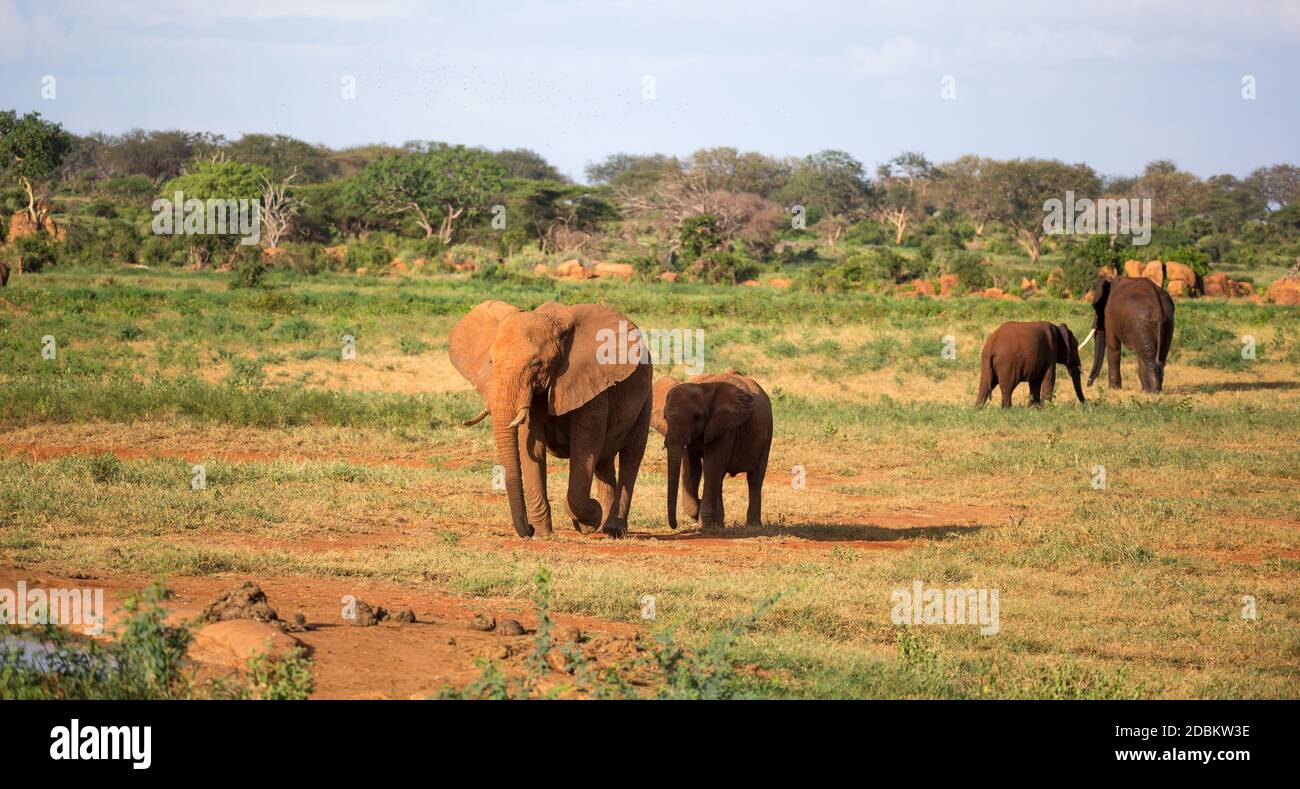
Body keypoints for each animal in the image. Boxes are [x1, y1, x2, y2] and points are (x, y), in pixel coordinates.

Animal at [449, 300, 653, 539]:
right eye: (491, 362)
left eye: (536, 364)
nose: (527, 529)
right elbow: (532, 447)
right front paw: (542, 534)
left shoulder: (592, 385)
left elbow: (585, 449)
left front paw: (588, 520)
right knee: (604, 461)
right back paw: (604, 527)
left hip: (646, 397)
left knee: (632, 454)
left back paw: (613, 528)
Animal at [651, 370, 773, 531]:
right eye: (665, 417)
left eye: (696, 417)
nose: (674, 526)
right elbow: (692, 469)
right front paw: (701, 516)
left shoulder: (724, 426)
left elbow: (712, 465)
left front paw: (704, 526)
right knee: (719, 478)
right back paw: (719, 524)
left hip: (767, 432)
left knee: (754, 477)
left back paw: (753, 527)